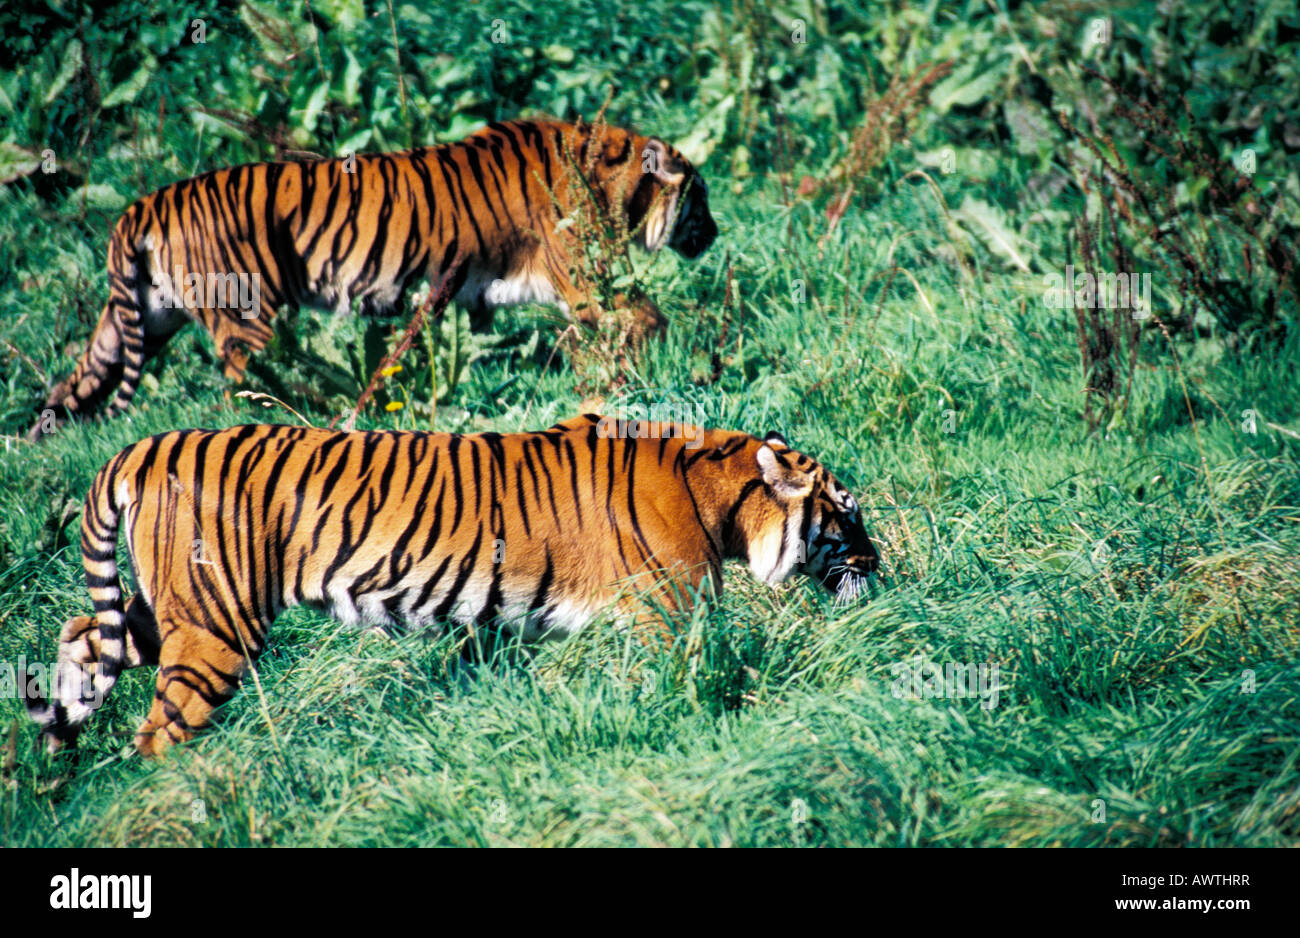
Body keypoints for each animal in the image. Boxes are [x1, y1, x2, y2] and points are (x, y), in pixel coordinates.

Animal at [24, 414, 878, 757]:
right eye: (847, 513)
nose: (882, 567)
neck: (718, 490)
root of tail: (141, 448)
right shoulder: (674, 606)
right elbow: (710, 672)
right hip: (216, 624)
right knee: (159, 734)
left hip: (172, 613)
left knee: (80, 638)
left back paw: (51, 749)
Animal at [26, 119, 717, 441]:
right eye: (702, 198)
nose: (715, 233)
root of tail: (143, 204)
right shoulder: (584, 281)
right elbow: (646, 316)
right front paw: (660, 368)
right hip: (244, 317)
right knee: (237, 393)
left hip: (140, 319)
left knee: (70, 387)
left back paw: (32, 440)